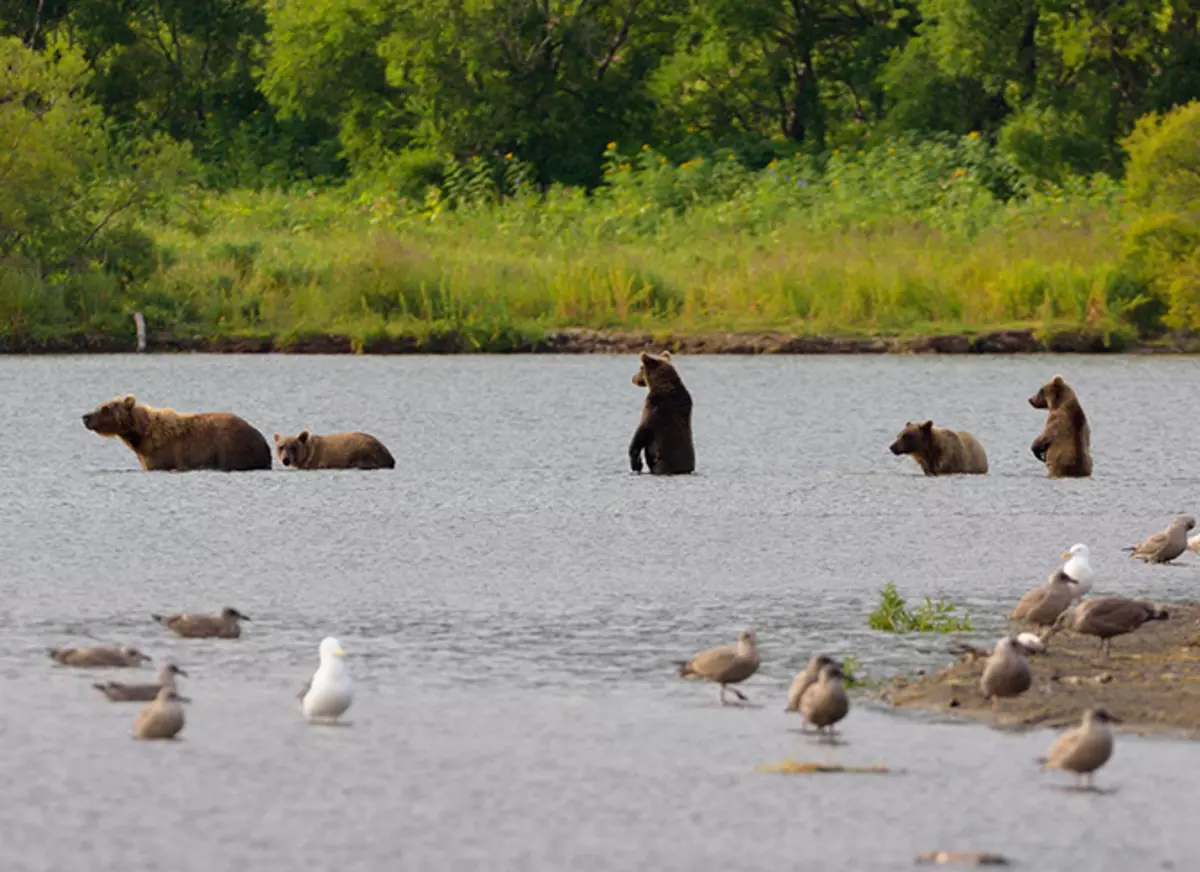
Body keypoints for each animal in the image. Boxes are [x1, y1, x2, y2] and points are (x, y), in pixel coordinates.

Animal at [81, 395, 272, 470]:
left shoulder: (163, 454)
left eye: (105, 409)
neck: (140, 437)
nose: (85, 417)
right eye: (100, 405)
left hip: (231, 449)